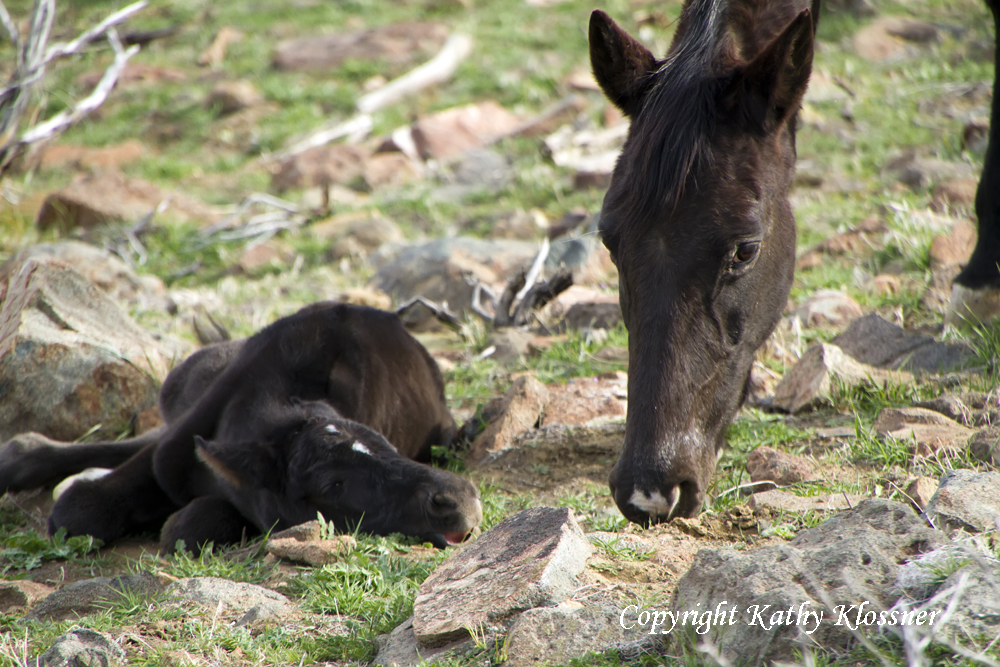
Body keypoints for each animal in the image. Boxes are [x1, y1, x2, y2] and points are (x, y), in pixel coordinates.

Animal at [0, 302, 482, 552]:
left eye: (388, 444)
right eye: (333, 485)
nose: (459, 498)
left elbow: (190, 525)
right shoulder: (171, 454)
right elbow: (80, 511)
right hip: (181, 382)